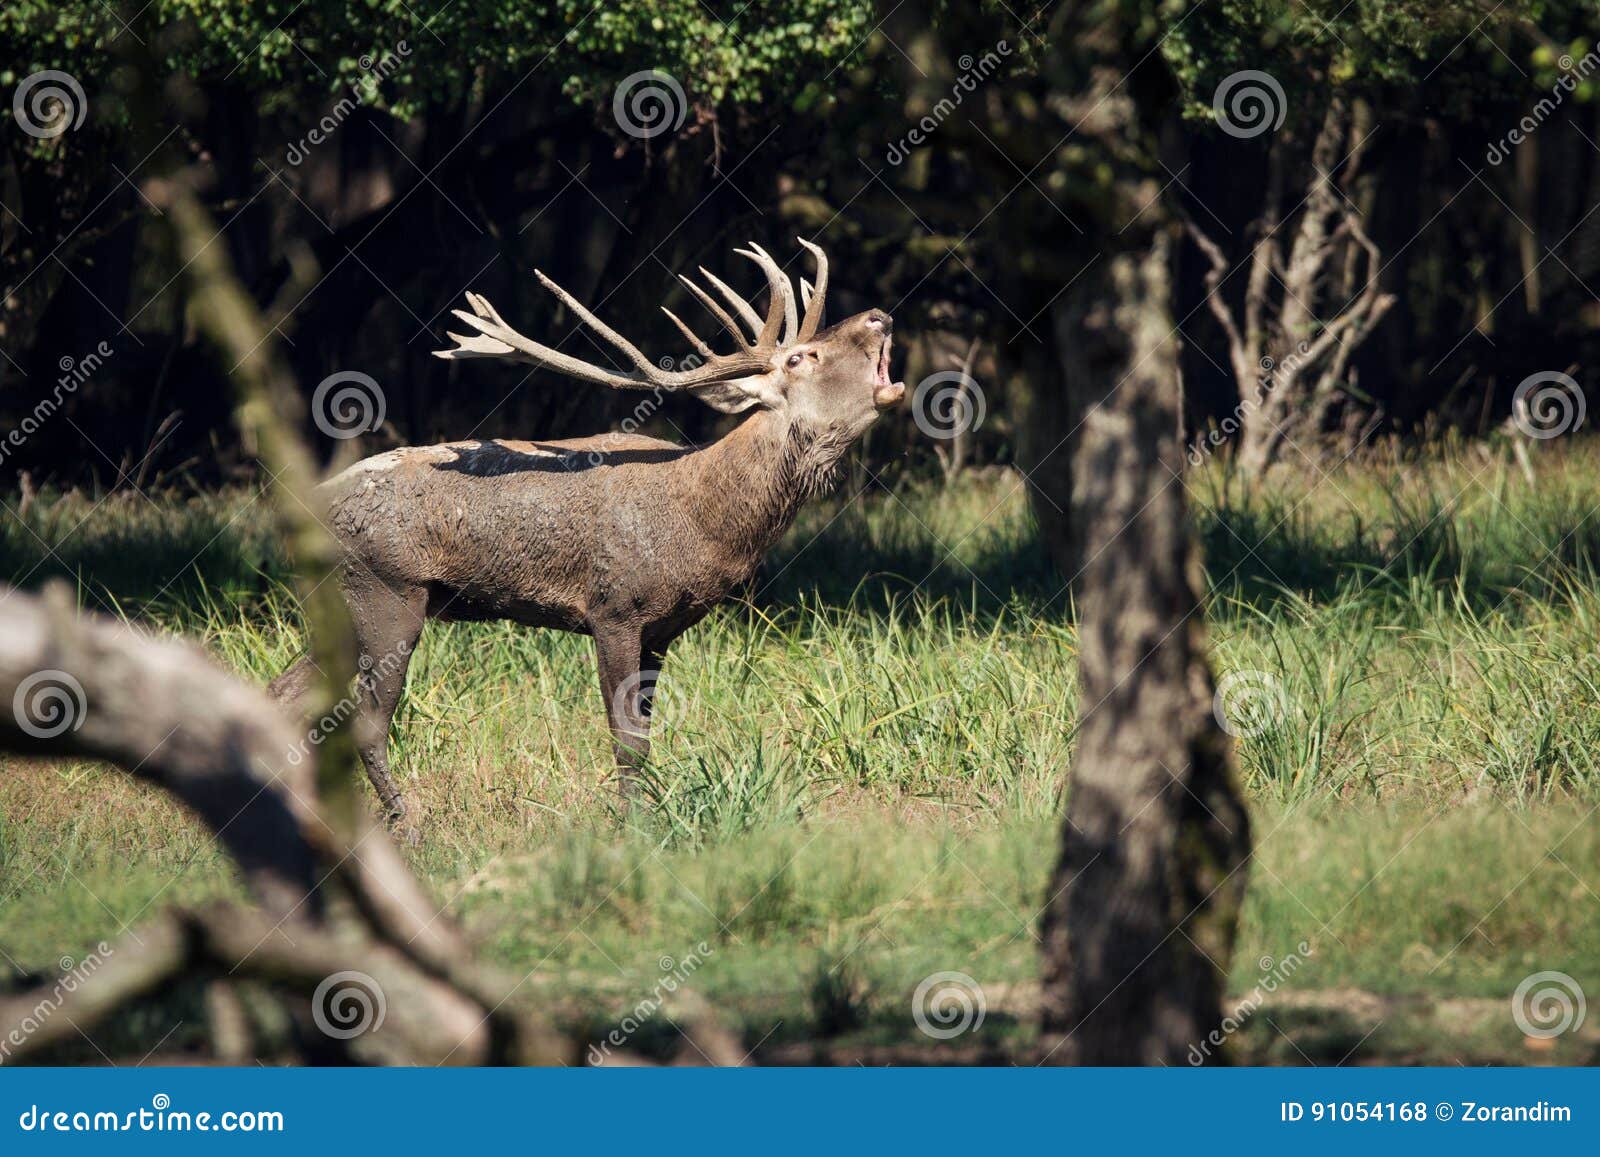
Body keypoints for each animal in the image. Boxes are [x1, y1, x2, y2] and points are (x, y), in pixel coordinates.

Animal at [269, 240, 904, 826]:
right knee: (367, 721)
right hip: (387, 590)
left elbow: (644, 737)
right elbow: (625, 740)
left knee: (286, 694)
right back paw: (406, 821)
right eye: (801, 357)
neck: (704, 527)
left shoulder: (661, 630)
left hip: (343, 605)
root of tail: (305, 511)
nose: (879, 315)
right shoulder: (615, 609)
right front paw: (634, 826)